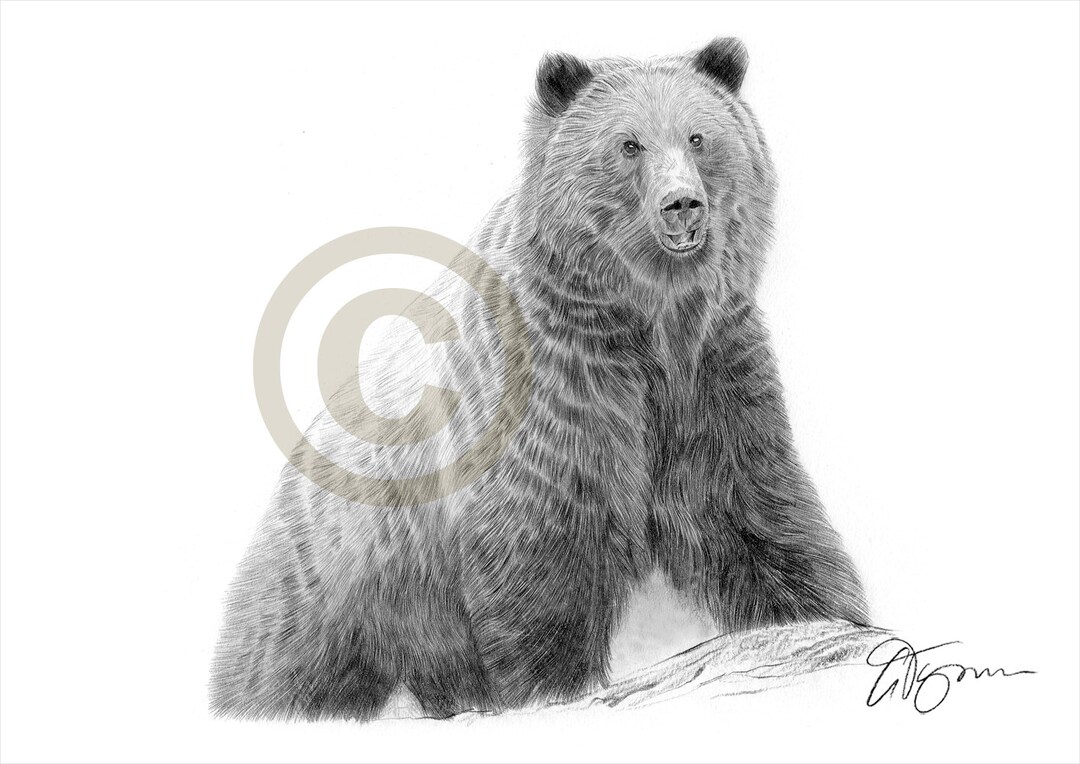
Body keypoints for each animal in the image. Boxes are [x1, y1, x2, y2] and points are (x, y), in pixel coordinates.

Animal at [210, 37, 870, 721]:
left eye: (698, 136)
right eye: (628, 143)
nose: (682, 204)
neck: (648, 316)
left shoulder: (713, 369)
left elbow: (752, 505)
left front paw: (825, 618)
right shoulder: (555, 383)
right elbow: (540, 541)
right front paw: (555, 685)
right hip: (335, 582)